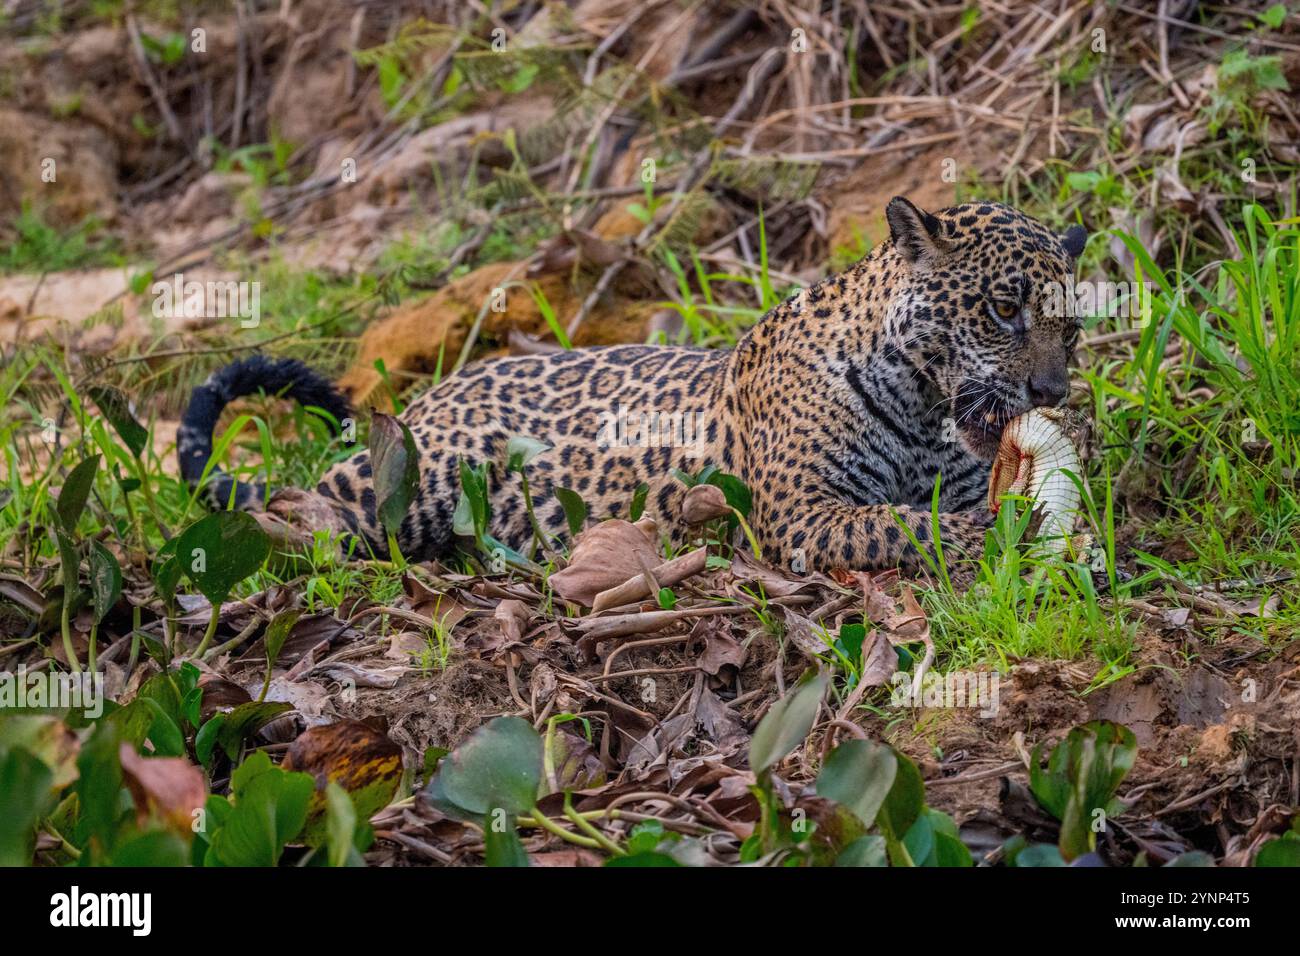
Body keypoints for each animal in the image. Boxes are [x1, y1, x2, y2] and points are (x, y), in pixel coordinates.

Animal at [178, 197, 1087, 573]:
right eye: (1003, 309)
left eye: (1073, 329)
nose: (1051, 392)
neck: (924, 404)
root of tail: (430, 395)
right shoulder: (802, 513)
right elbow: (906, 525)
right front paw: (1005, 537)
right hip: (409, 479)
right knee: (302, 509)